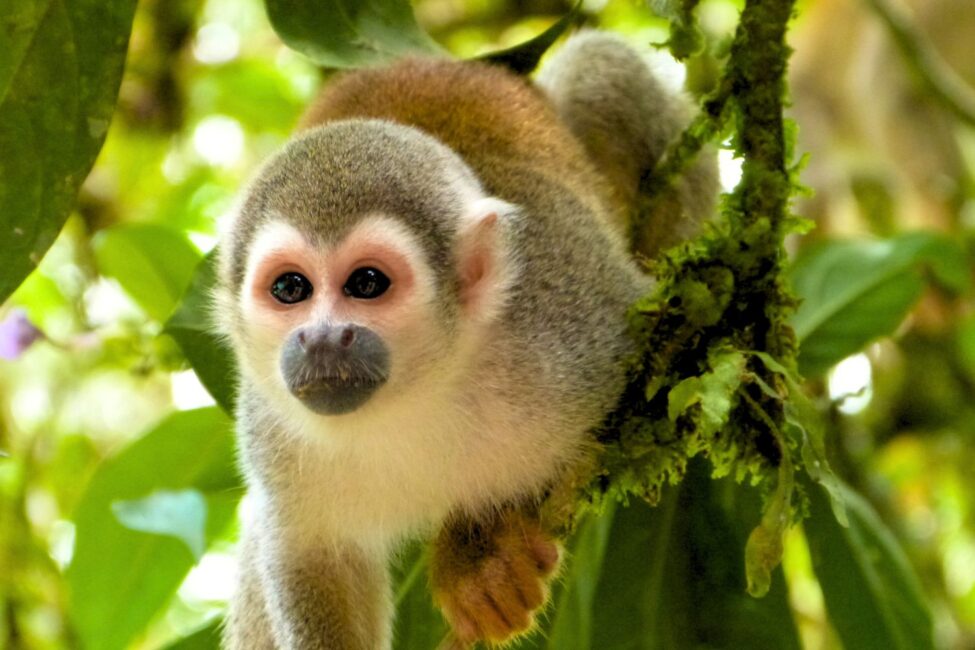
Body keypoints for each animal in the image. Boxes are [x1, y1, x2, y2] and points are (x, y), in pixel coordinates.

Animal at [216, 31, 716, 649]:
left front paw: (477, 551)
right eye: (291, 288)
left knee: (598, 61)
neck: (421, 390)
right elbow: (309, 556)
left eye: (366, 283)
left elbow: (691, 361)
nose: (323, 339)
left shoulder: (579, 328)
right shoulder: (273, 430)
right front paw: (478, 561)